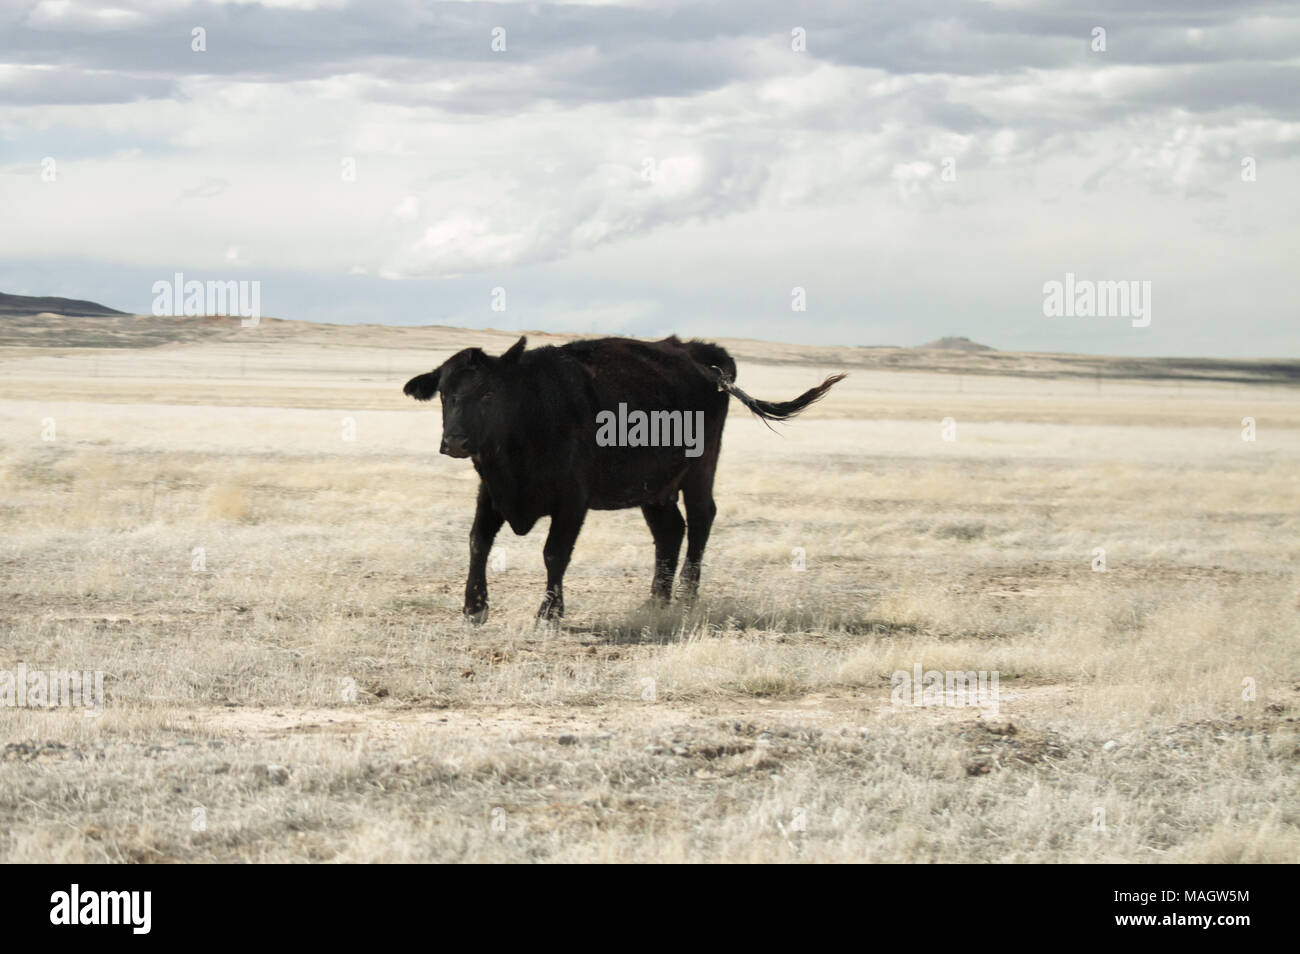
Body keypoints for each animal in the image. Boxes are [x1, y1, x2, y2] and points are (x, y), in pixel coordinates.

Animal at [403, 335, 844, 623]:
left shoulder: (572, 501)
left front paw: (549, 613)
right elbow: (477, 542)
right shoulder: (492, 493)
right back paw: (655, 602)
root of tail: (703, 355)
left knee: (701, 521)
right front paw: (474, 608)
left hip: (700, 471)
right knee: (670, 531)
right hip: (656, 489)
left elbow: (554, 553)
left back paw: (685, 597)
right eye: (444, 393)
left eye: (489, 393)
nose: (455, 441)